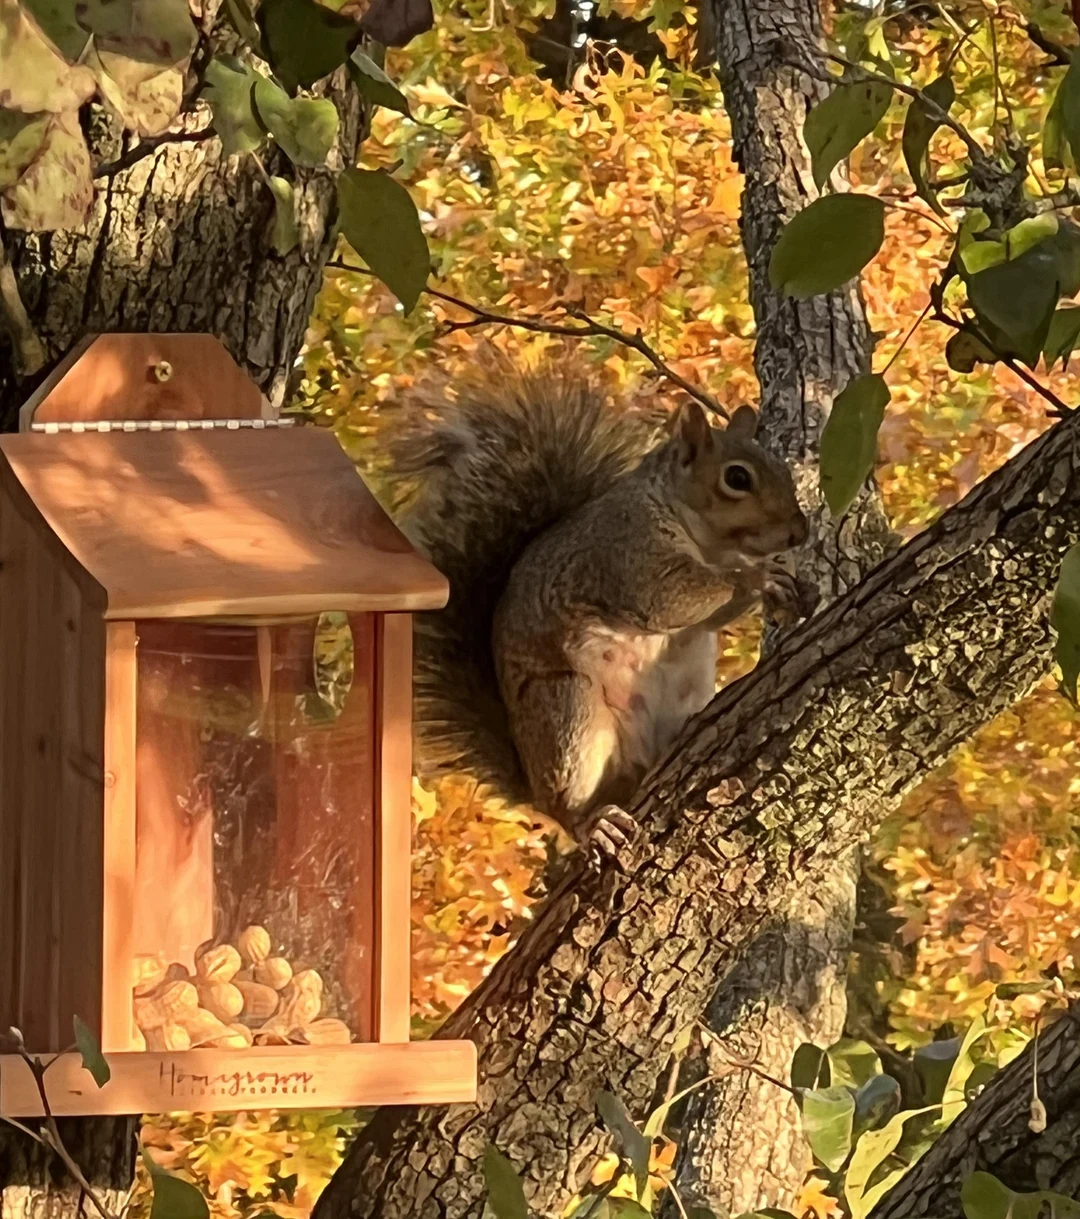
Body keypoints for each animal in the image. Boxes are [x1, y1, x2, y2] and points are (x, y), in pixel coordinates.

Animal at [392, 359, 809, 860]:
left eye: (783, 468)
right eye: (738, 478)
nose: (800, 532)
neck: (707, 542)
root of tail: (529, 778)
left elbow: (706, 615)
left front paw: (780, 582)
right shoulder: (625, 552)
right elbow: (667, 599)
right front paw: (760, 577)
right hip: (570, 712)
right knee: (565, 806)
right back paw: (592, 823)